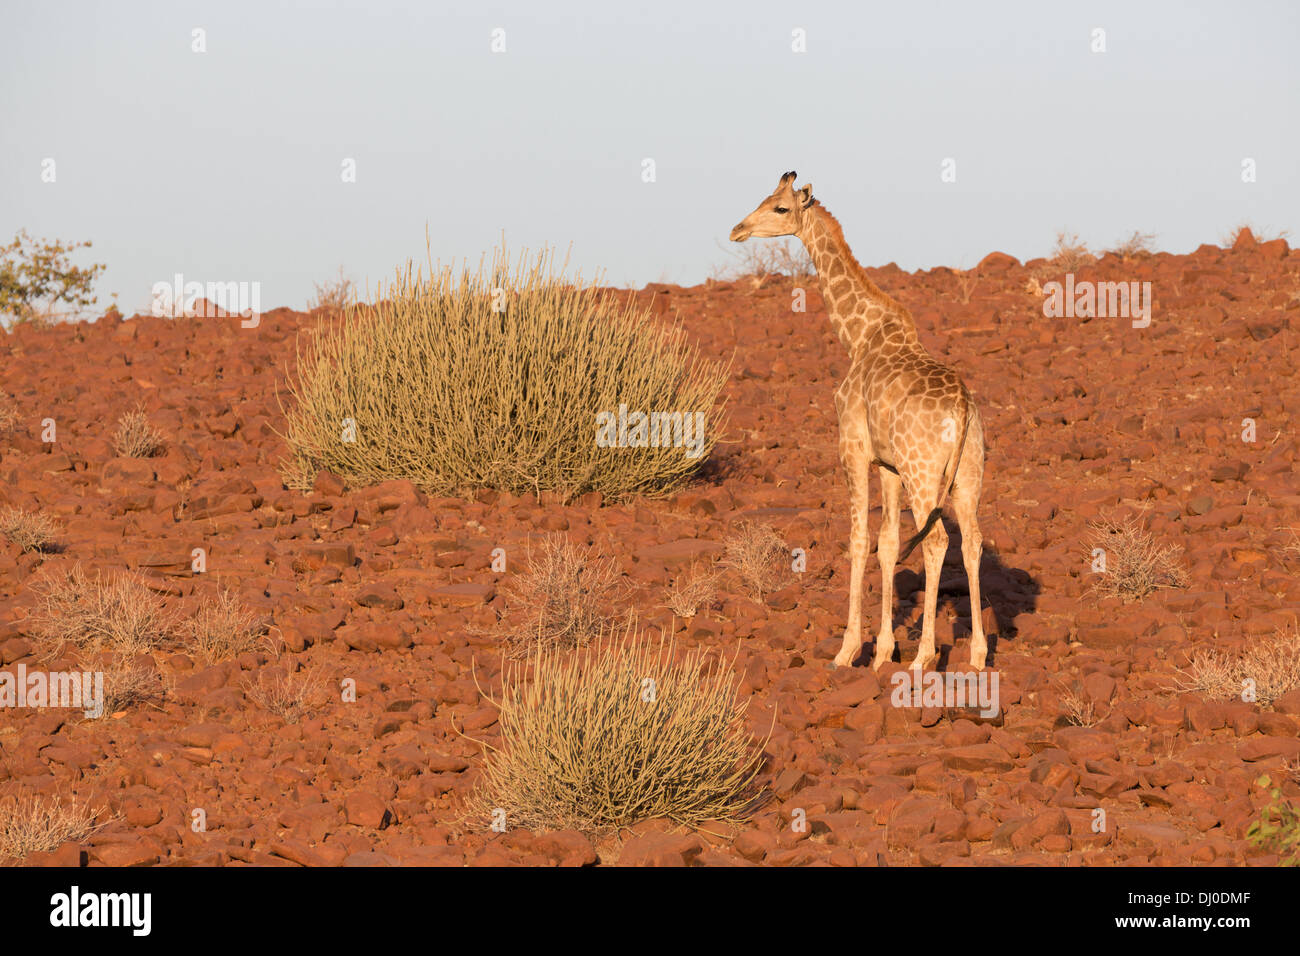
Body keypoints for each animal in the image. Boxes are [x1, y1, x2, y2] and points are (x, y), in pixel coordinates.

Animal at [730, 171, 987, 672]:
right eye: (763, 198)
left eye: (780, 208)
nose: (737, 230)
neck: (858, 335)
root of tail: (962, 407)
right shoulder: (888, 465)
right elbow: (886, 543)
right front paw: (883, 650)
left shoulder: (852, 448)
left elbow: (857, 537)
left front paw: (848, 651)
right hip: (968, 474)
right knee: (972, 541)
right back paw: (979, 656)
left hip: (924, 474)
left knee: (936, 541)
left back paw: (924, 657)